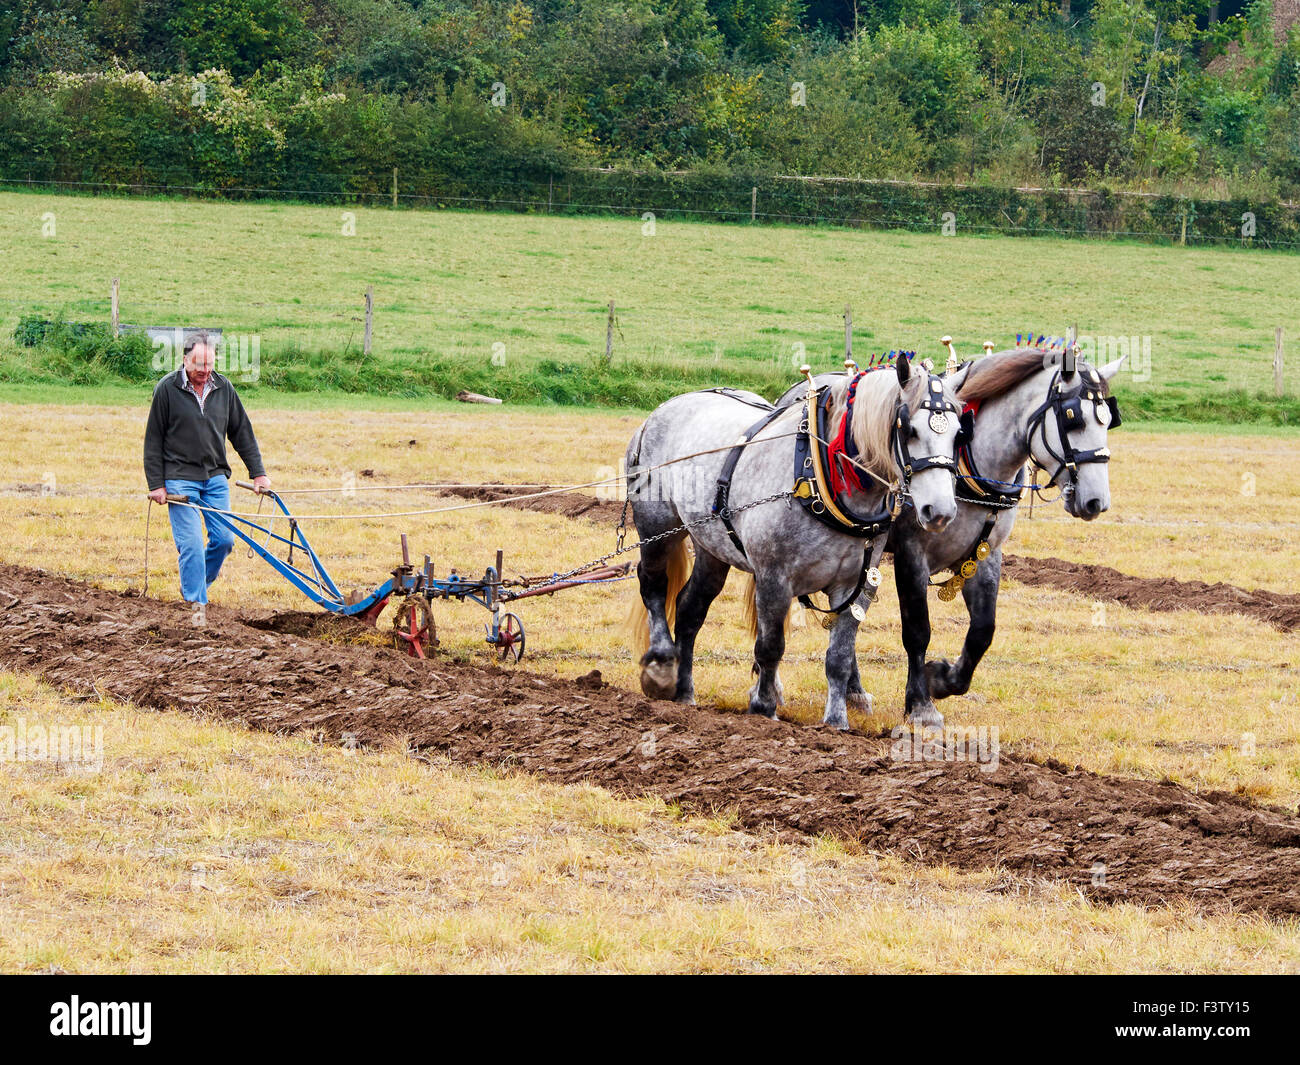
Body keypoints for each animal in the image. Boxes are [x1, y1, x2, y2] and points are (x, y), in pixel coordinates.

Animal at [625, 355, 962, 724]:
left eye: (959, 434)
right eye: (909, 430)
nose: (940, 511)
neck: (815, 475)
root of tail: (661, 411)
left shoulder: (855, 585)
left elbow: (839, 656)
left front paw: (836, 721)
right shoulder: (774, 577)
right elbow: (771, 646)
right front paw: (763, 707)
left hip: (712, 547)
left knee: (690, 609)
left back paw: (685, 692)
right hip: (656, 526)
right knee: (653, 586)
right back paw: (660, 665)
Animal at [775, 345, 1125, 727]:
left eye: (1108, 420)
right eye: (1073, 419)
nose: (1096, 501)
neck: (969, 464)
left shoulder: (986, 554)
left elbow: (983, 630)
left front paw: (942, 678)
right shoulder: (912, 553)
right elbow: (917, 629)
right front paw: (921, 705)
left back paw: (853, 692)